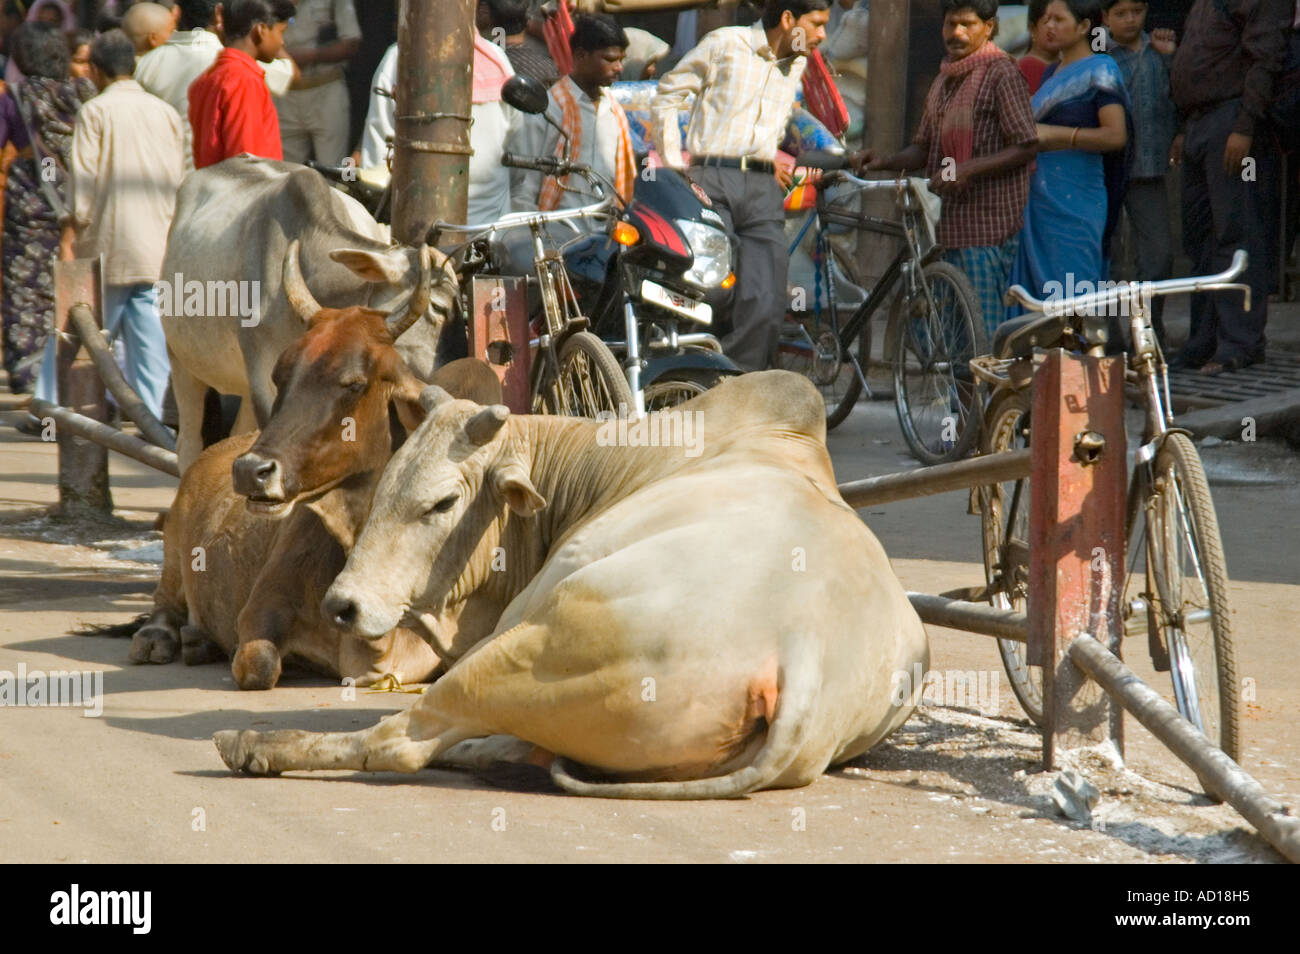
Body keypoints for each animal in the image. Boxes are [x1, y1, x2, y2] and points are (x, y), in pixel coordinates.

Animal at [133, 243, 502, 690]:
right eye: (280, 375)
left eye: (355, 383)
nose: (250, 470)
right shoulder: (260, 610)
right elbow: (259, 666)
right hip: (172, 543)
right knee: (164, 604)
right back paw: (165, 638)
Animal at [214, 372, 929, 797]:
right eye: (387, 483)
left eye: (442, 503)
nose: (343, 604)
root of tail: (802, 650)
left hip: (525, 651)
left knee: (400, 743)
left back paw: (254, 745)